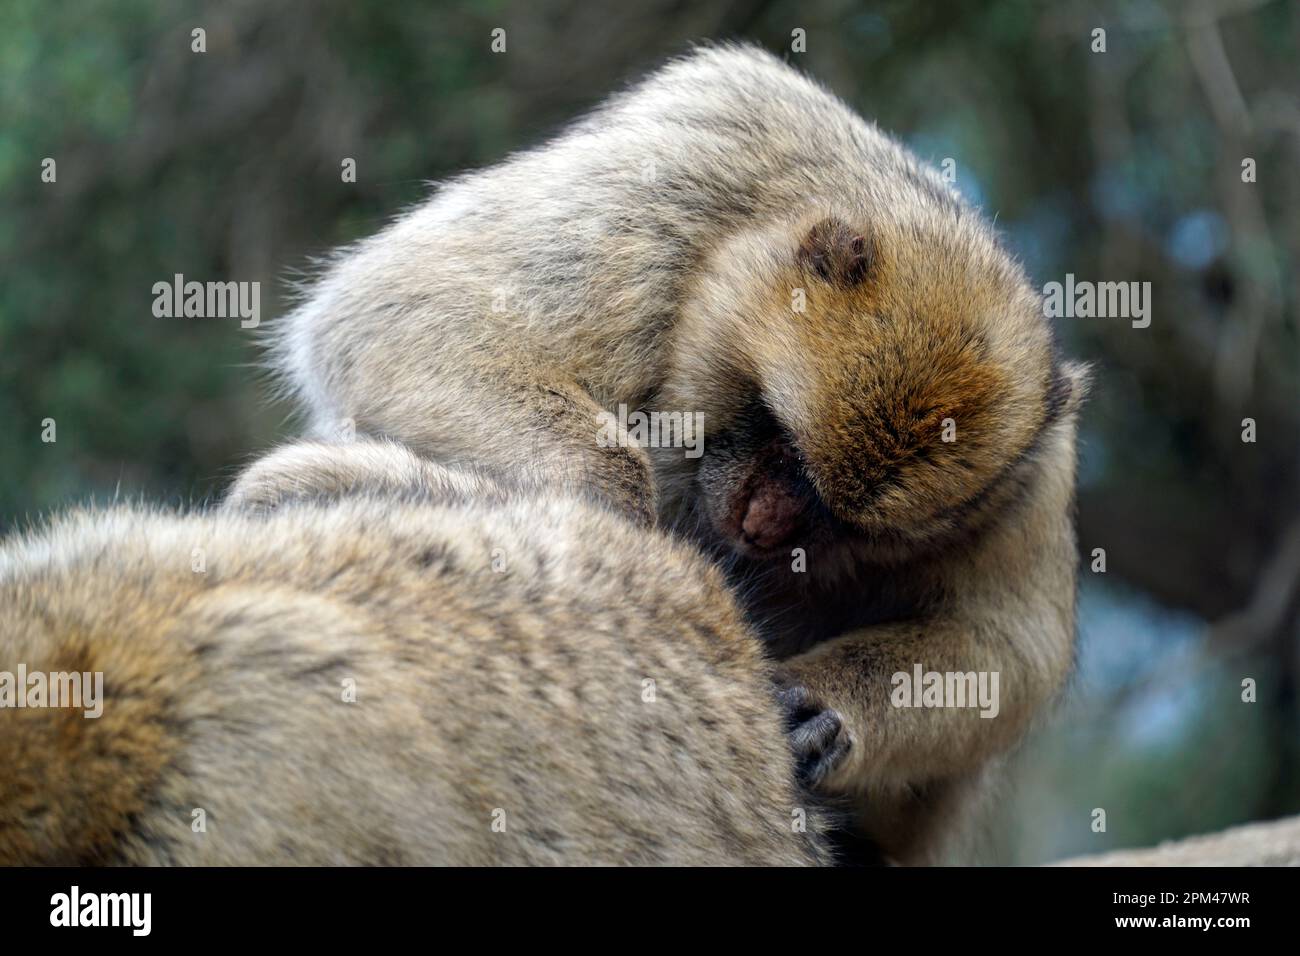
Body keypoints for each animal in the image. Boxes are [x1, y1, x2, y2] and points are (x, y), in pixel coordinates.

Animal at [270, 43, 1087, 863]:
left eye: (842, 521)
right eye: (785, 446)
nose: (762, 525)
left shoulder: (1036, 466)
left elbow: (1009, 649)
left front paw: (830, 709)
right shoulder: (681, 185)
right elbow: (398, 313)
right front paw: (613, 537)